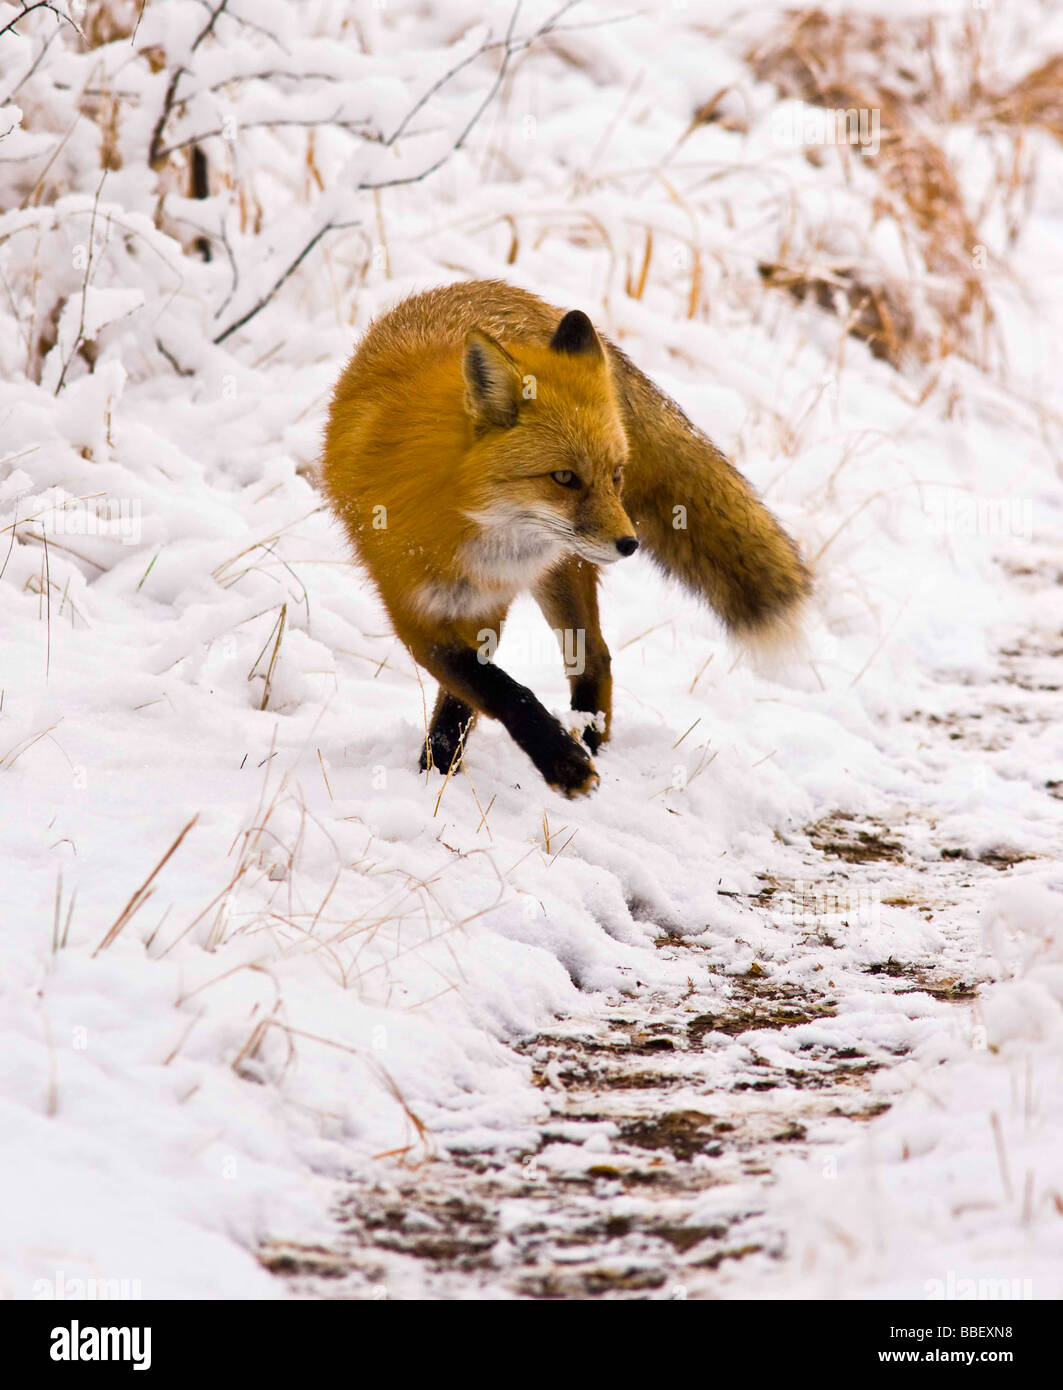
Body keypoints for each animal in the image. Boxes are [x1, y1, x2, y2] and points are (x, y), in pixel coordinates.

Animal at [321, 280, 811, 798]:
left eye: (615, 475)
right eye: (564, 478)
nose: (630, 544)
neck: (459, 507)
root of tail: (511, 292)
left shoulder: (487, 602)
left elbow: (481, 691)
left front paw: (552, 762)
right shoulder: (416, 610)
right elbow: (492, 688)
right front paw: (446, 770)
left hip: (564, 570)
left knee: (596, 657)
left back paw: (590, 741)